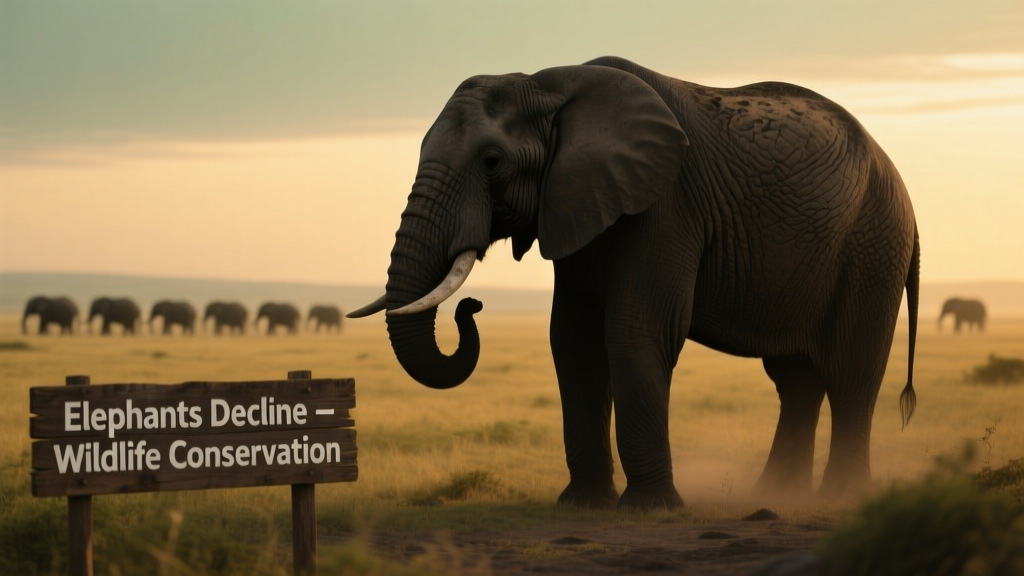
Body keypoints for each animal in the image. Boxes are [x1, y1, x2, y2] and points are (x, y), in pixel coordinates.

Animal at [348, 56, 920, 510]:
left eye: (492, 162)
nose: (473, 305)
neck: (550, 86)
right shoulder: (577, 203)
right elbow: (573, 340)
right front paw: (582, 505)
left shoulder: (666, 205)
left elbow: (635, 332)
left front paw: (649, 509)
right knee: (796, 380)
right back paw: (776, 497)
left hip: (873, 244)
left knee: (850, 373)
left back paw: (839, 499)